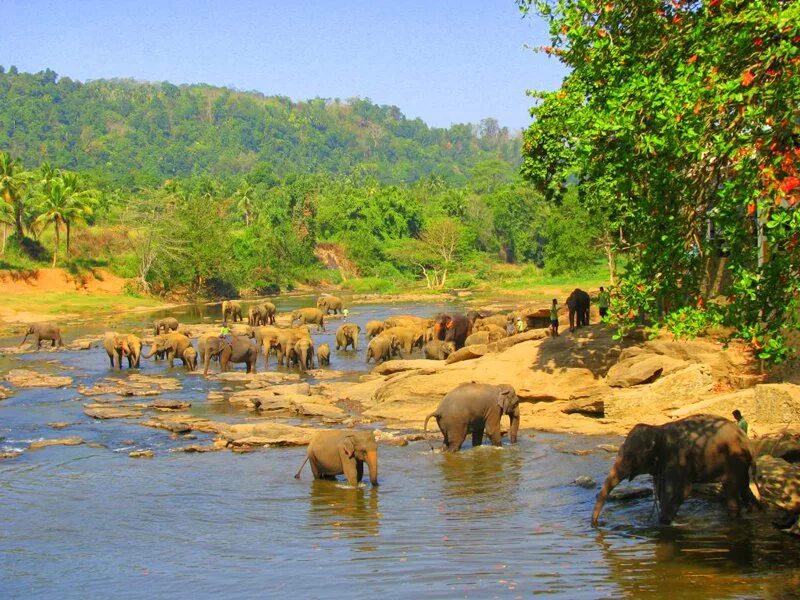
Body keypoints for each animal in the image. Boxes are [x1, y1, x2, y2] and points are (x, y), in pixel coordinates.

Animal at [592, 412, 760, 524]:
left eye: (629, 457)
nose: (597, 523)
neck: (659, 430)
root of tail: (747, 440)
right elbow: (661, 491)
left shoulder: (677, 458)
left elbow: (676, 492)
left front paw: (663, 524)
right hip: (740, 462)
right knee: (744, 486)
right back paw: (755, 510)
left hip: (734, 459)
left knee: (731, 487)